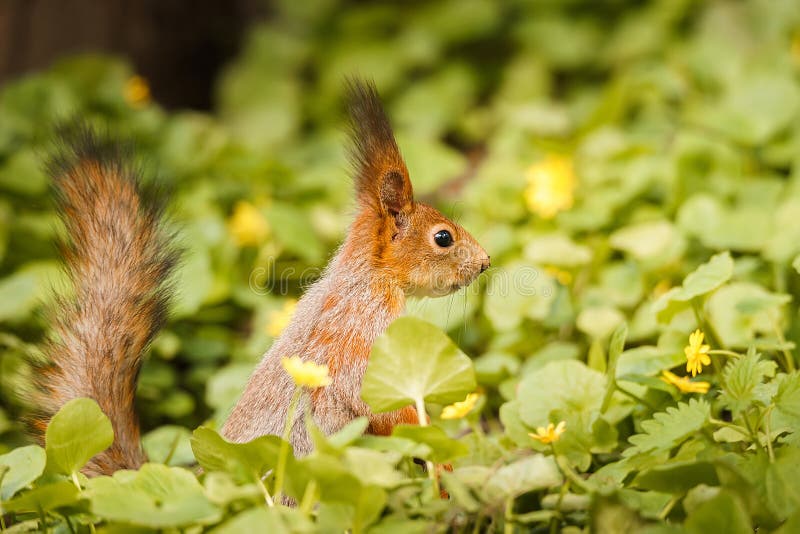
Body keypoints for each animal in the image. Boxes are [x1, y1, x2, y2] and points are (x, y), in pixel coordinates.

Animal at [36, 79, 489, 474]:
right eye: (443, 238)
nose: (485, 262)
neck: (369, 279)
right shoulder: (361, 336)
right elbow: (382, 405)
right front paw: (439, 455)